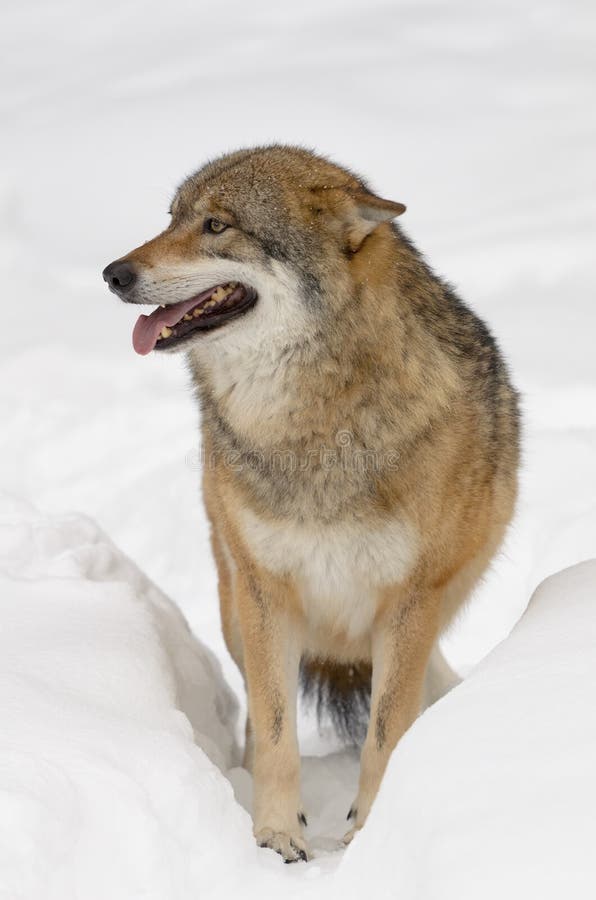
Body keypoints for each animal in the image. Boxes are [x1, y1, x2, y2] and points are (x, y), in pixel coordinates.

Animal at [103, 145, 520, 862]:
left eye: (217, 225)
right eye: (172, 219)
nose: (113, 273)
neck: (314, 424)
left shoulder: (409, 601)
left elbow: (386, 735)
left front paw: (367, 835)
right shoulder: (267, 591)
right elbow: (276, 732)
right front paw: (275, 834)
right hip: (235, 609)